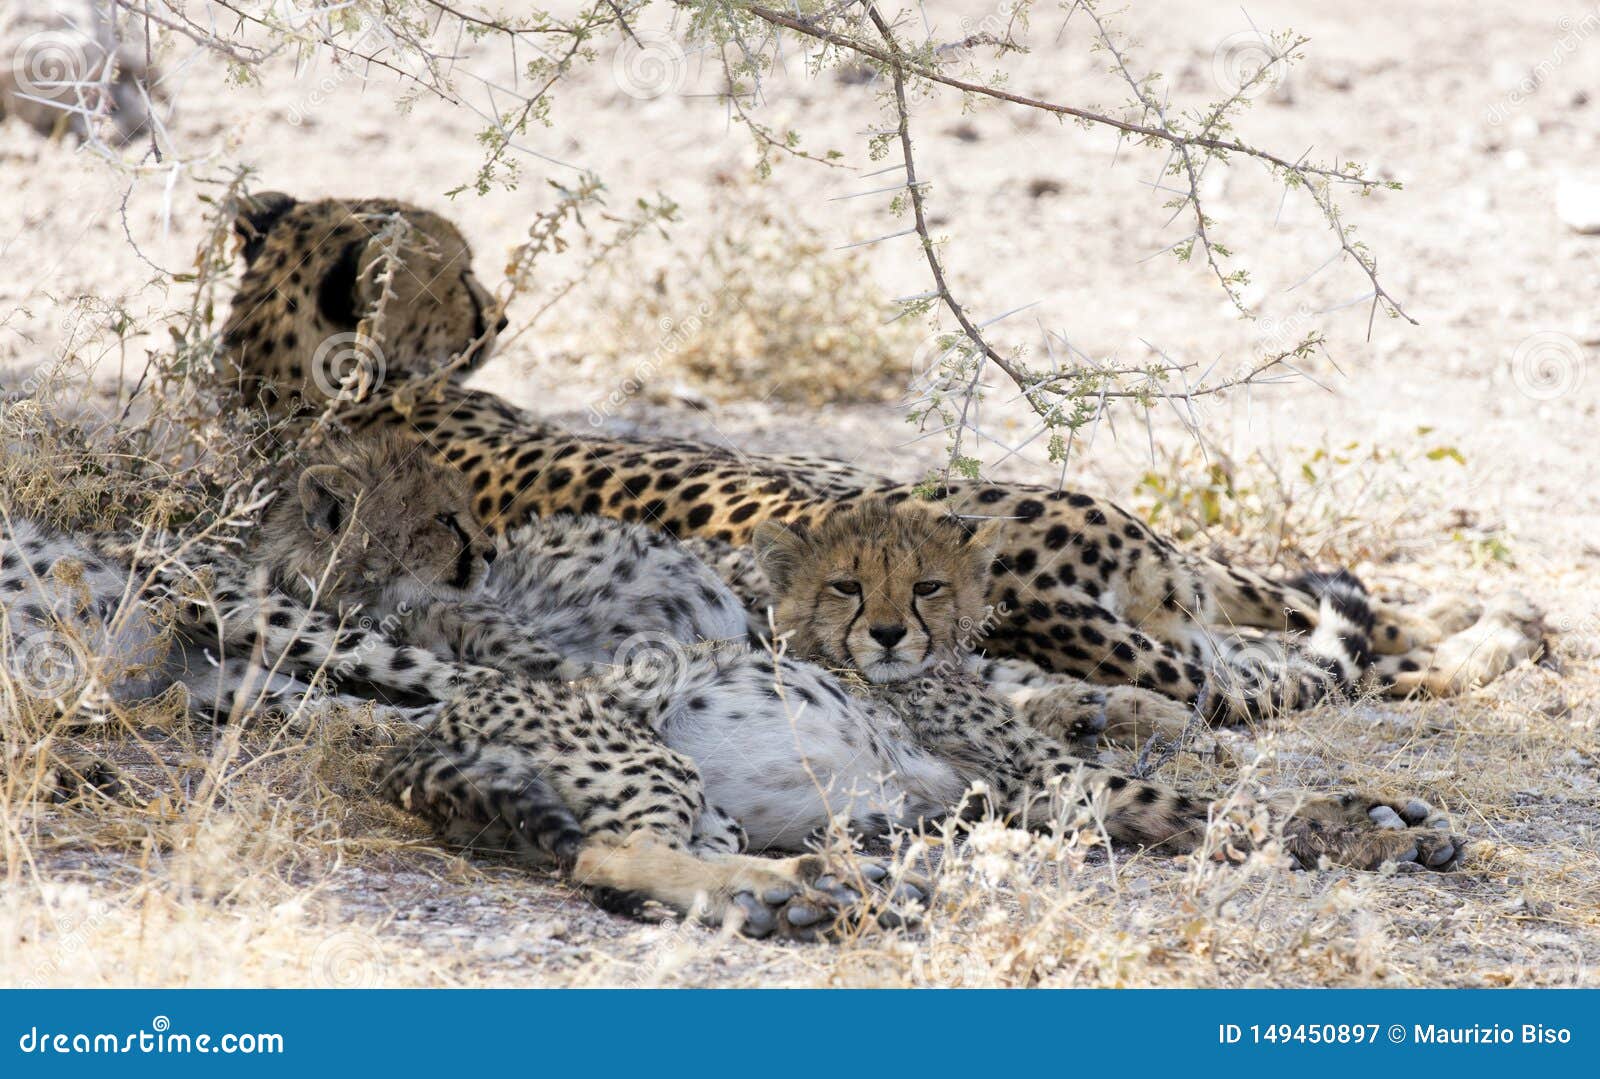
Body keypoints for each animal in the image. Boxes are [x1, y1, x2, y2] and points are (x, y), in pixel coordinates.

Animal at [213, 190, 1547, 734]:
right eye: (458, 275)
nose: (498, 306)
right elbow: (1329, 619)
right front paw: (1480, 616)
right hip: (1126, 563)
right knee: (1329, 652)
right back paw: (1500, 628)